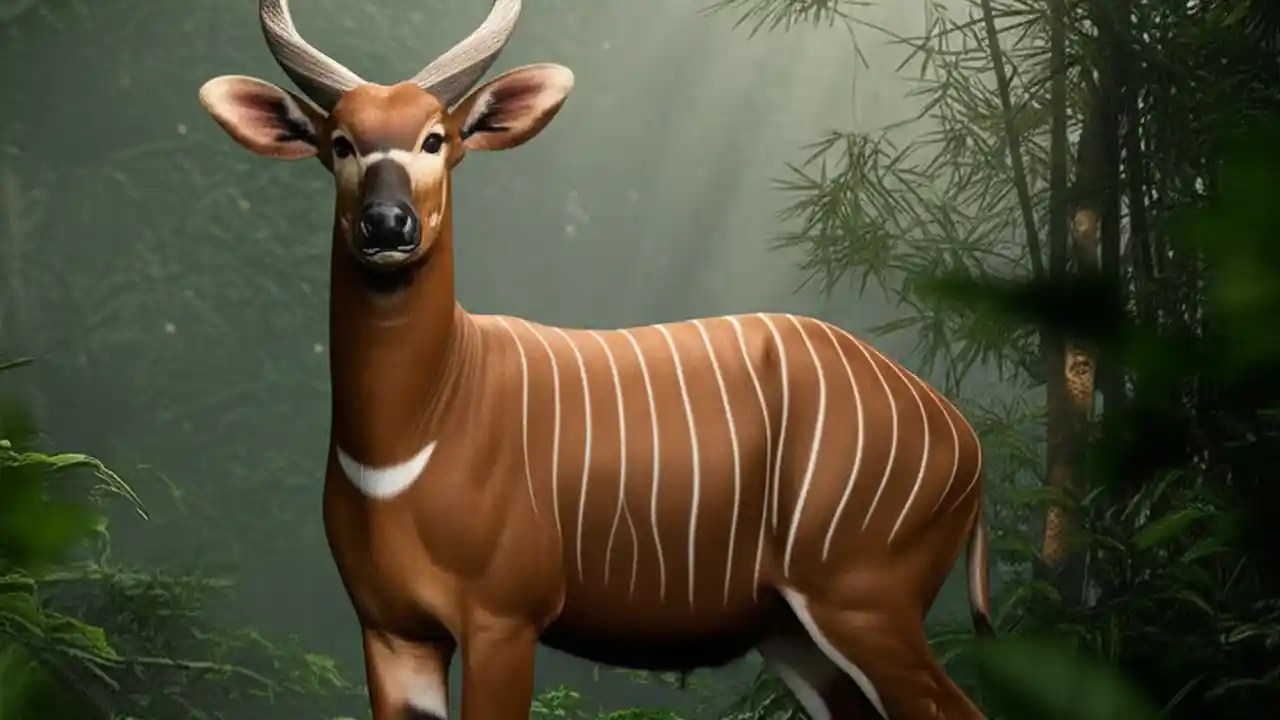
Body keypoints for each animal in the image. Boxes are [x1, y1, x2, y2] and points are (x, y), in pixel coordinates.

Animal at [197, 1, 994, 718]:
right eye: (339, 142)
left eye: (435, 139)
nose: (388, 224)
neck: (410, 439)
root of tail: (966, 439)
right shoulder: (392, 631)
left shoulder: (503, 618)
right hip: (794, 631)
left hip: (864, 597)